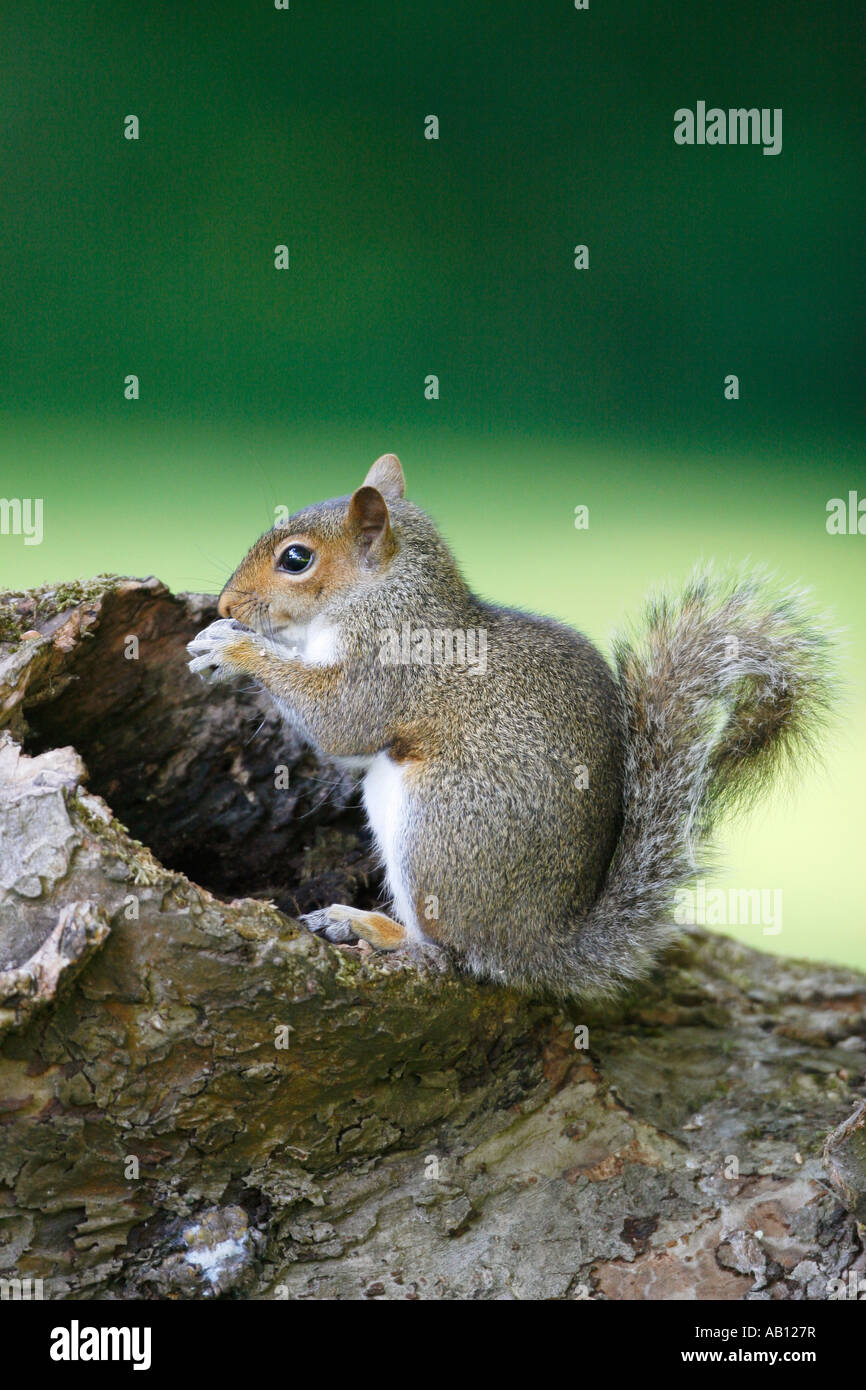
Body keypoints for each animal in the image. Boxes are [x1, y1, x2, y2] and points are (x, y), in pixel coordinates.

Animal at [187, 453, 834, 999]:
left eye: (296, 559)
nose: (225, 605)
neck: (386, 594)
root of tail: (538, 945)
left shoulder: (388, 665)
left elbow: (341, 722)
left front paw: (234, 649)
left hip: (437, 828)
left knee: (449, 949)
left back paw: (367, 926)